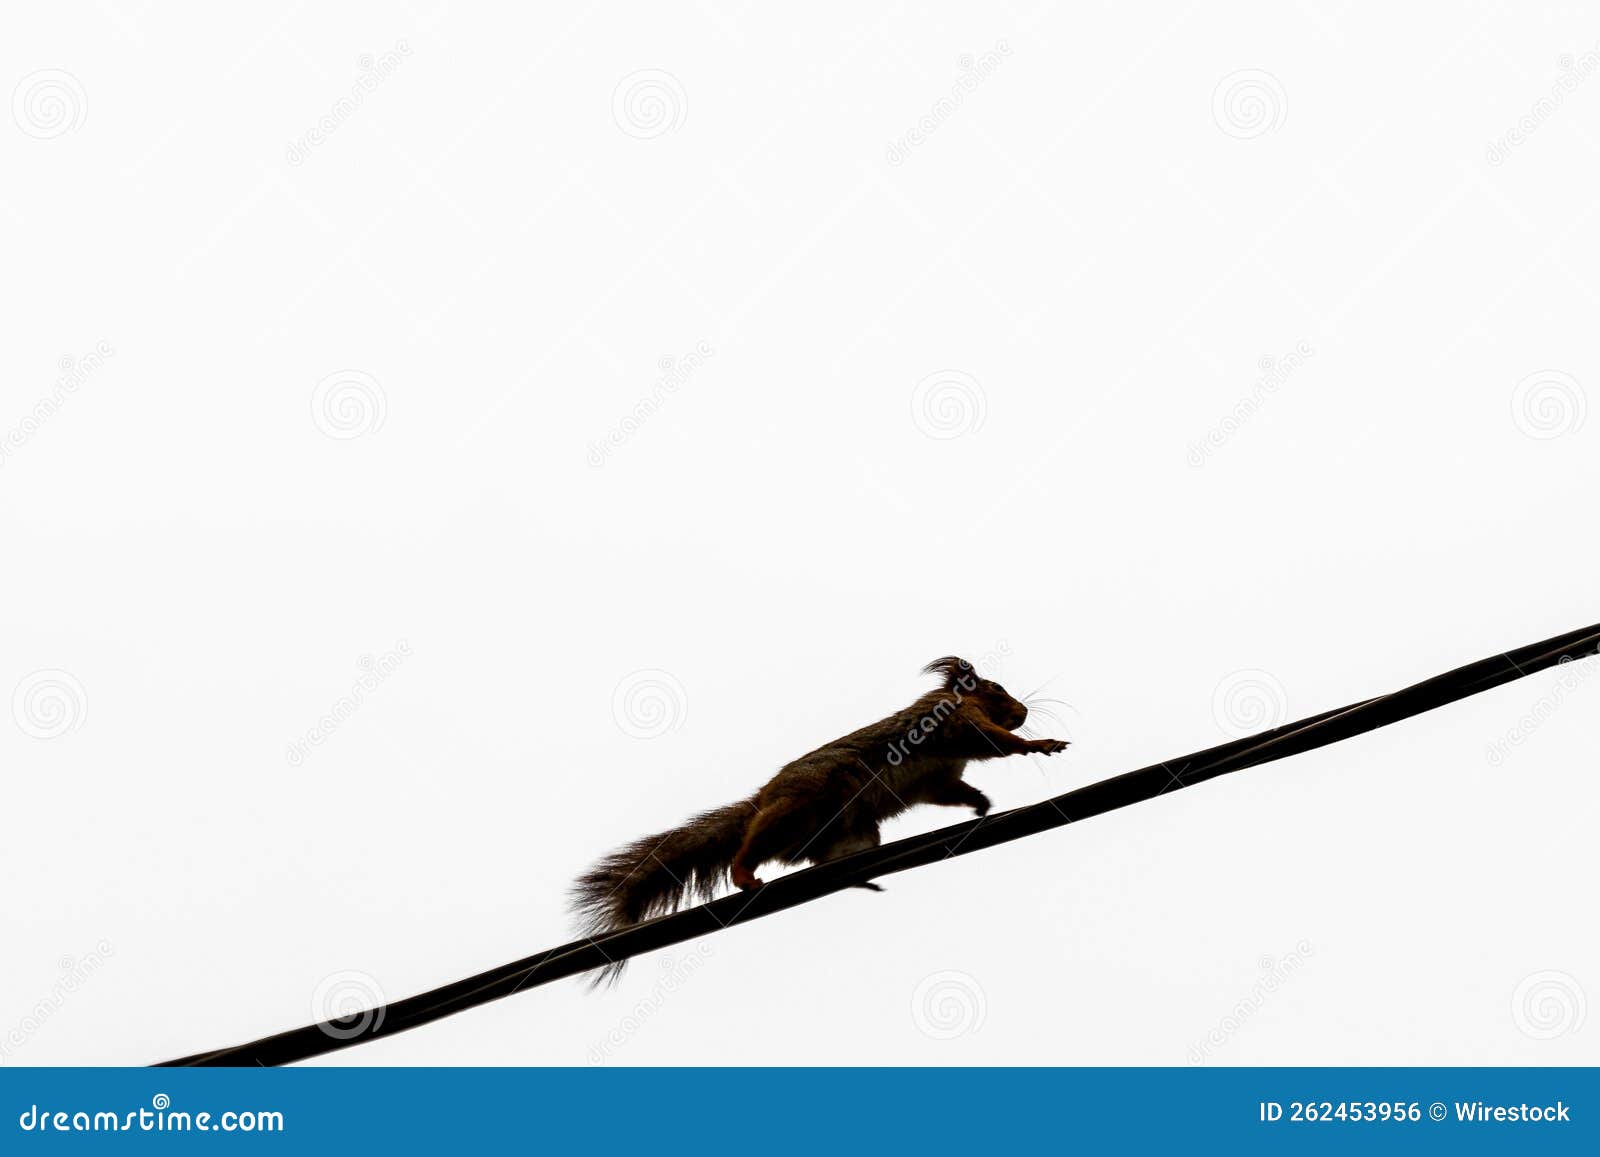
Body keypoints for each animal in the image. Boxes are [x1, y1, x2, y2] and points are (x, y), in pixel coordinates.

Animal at [571, 656, 1069, 978]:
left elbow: (952, 791)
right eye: (997, 689)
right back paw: (745, 873)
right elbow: (998, 743)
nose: (1024, 711)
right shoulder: (956, 726)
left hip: (851, 832)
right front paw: (1039, 744)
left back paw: (857, 878)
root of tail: (762, 800)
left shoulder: (940, 779)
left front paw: (980, 804)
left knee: (824, 859)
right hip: (803, 807)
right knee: (750, 847)